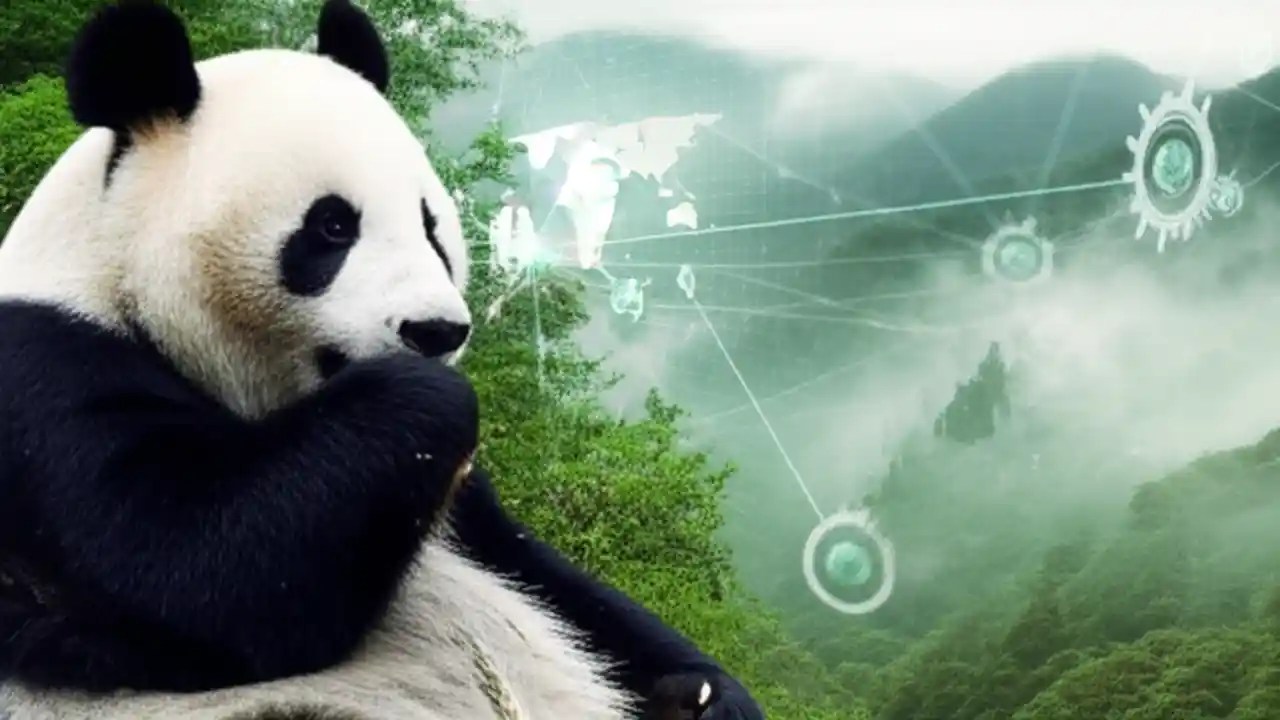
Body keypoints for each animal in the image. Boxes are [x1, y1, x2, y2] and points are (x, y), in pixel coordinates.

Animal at [0, 2, 762, 719]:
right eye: (332, 226)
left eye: (431, 227)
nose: (438, 331)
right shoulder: (47, 376)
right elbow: (195, 572)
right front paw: (425, 395)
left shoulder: (450, 508)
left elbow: (547, 576)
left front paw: (706, 694)